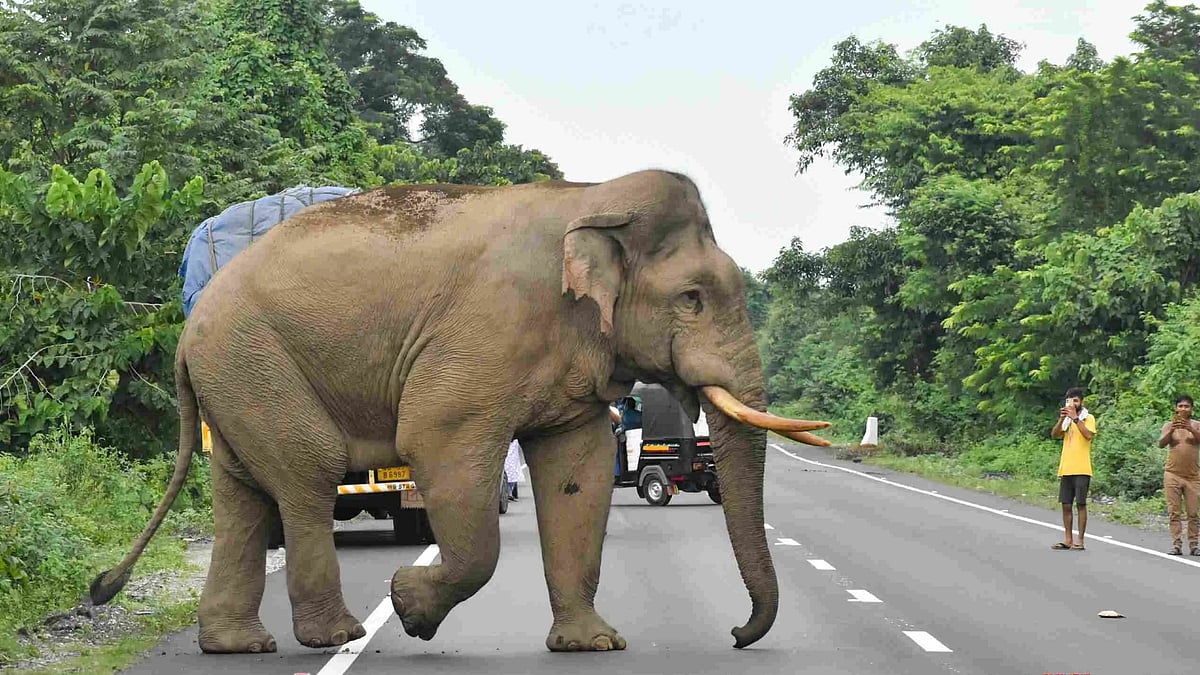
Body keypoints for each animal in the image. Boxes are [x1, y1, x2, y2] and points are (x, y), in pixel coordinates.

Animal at [89, 169, 831, 654]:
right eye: (692, 298)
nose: (736, 634)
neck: (590, 197)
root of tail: (189, 327)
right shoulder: (484, 334)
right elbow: (436, 442)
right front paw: (410, 606)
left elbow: (578, 470)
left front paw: (592, 645)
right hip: (256, 363)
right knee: (306, 474)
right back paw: (335, 635)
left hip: (237, 379)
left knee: (240, 494)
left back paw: (237, 646)